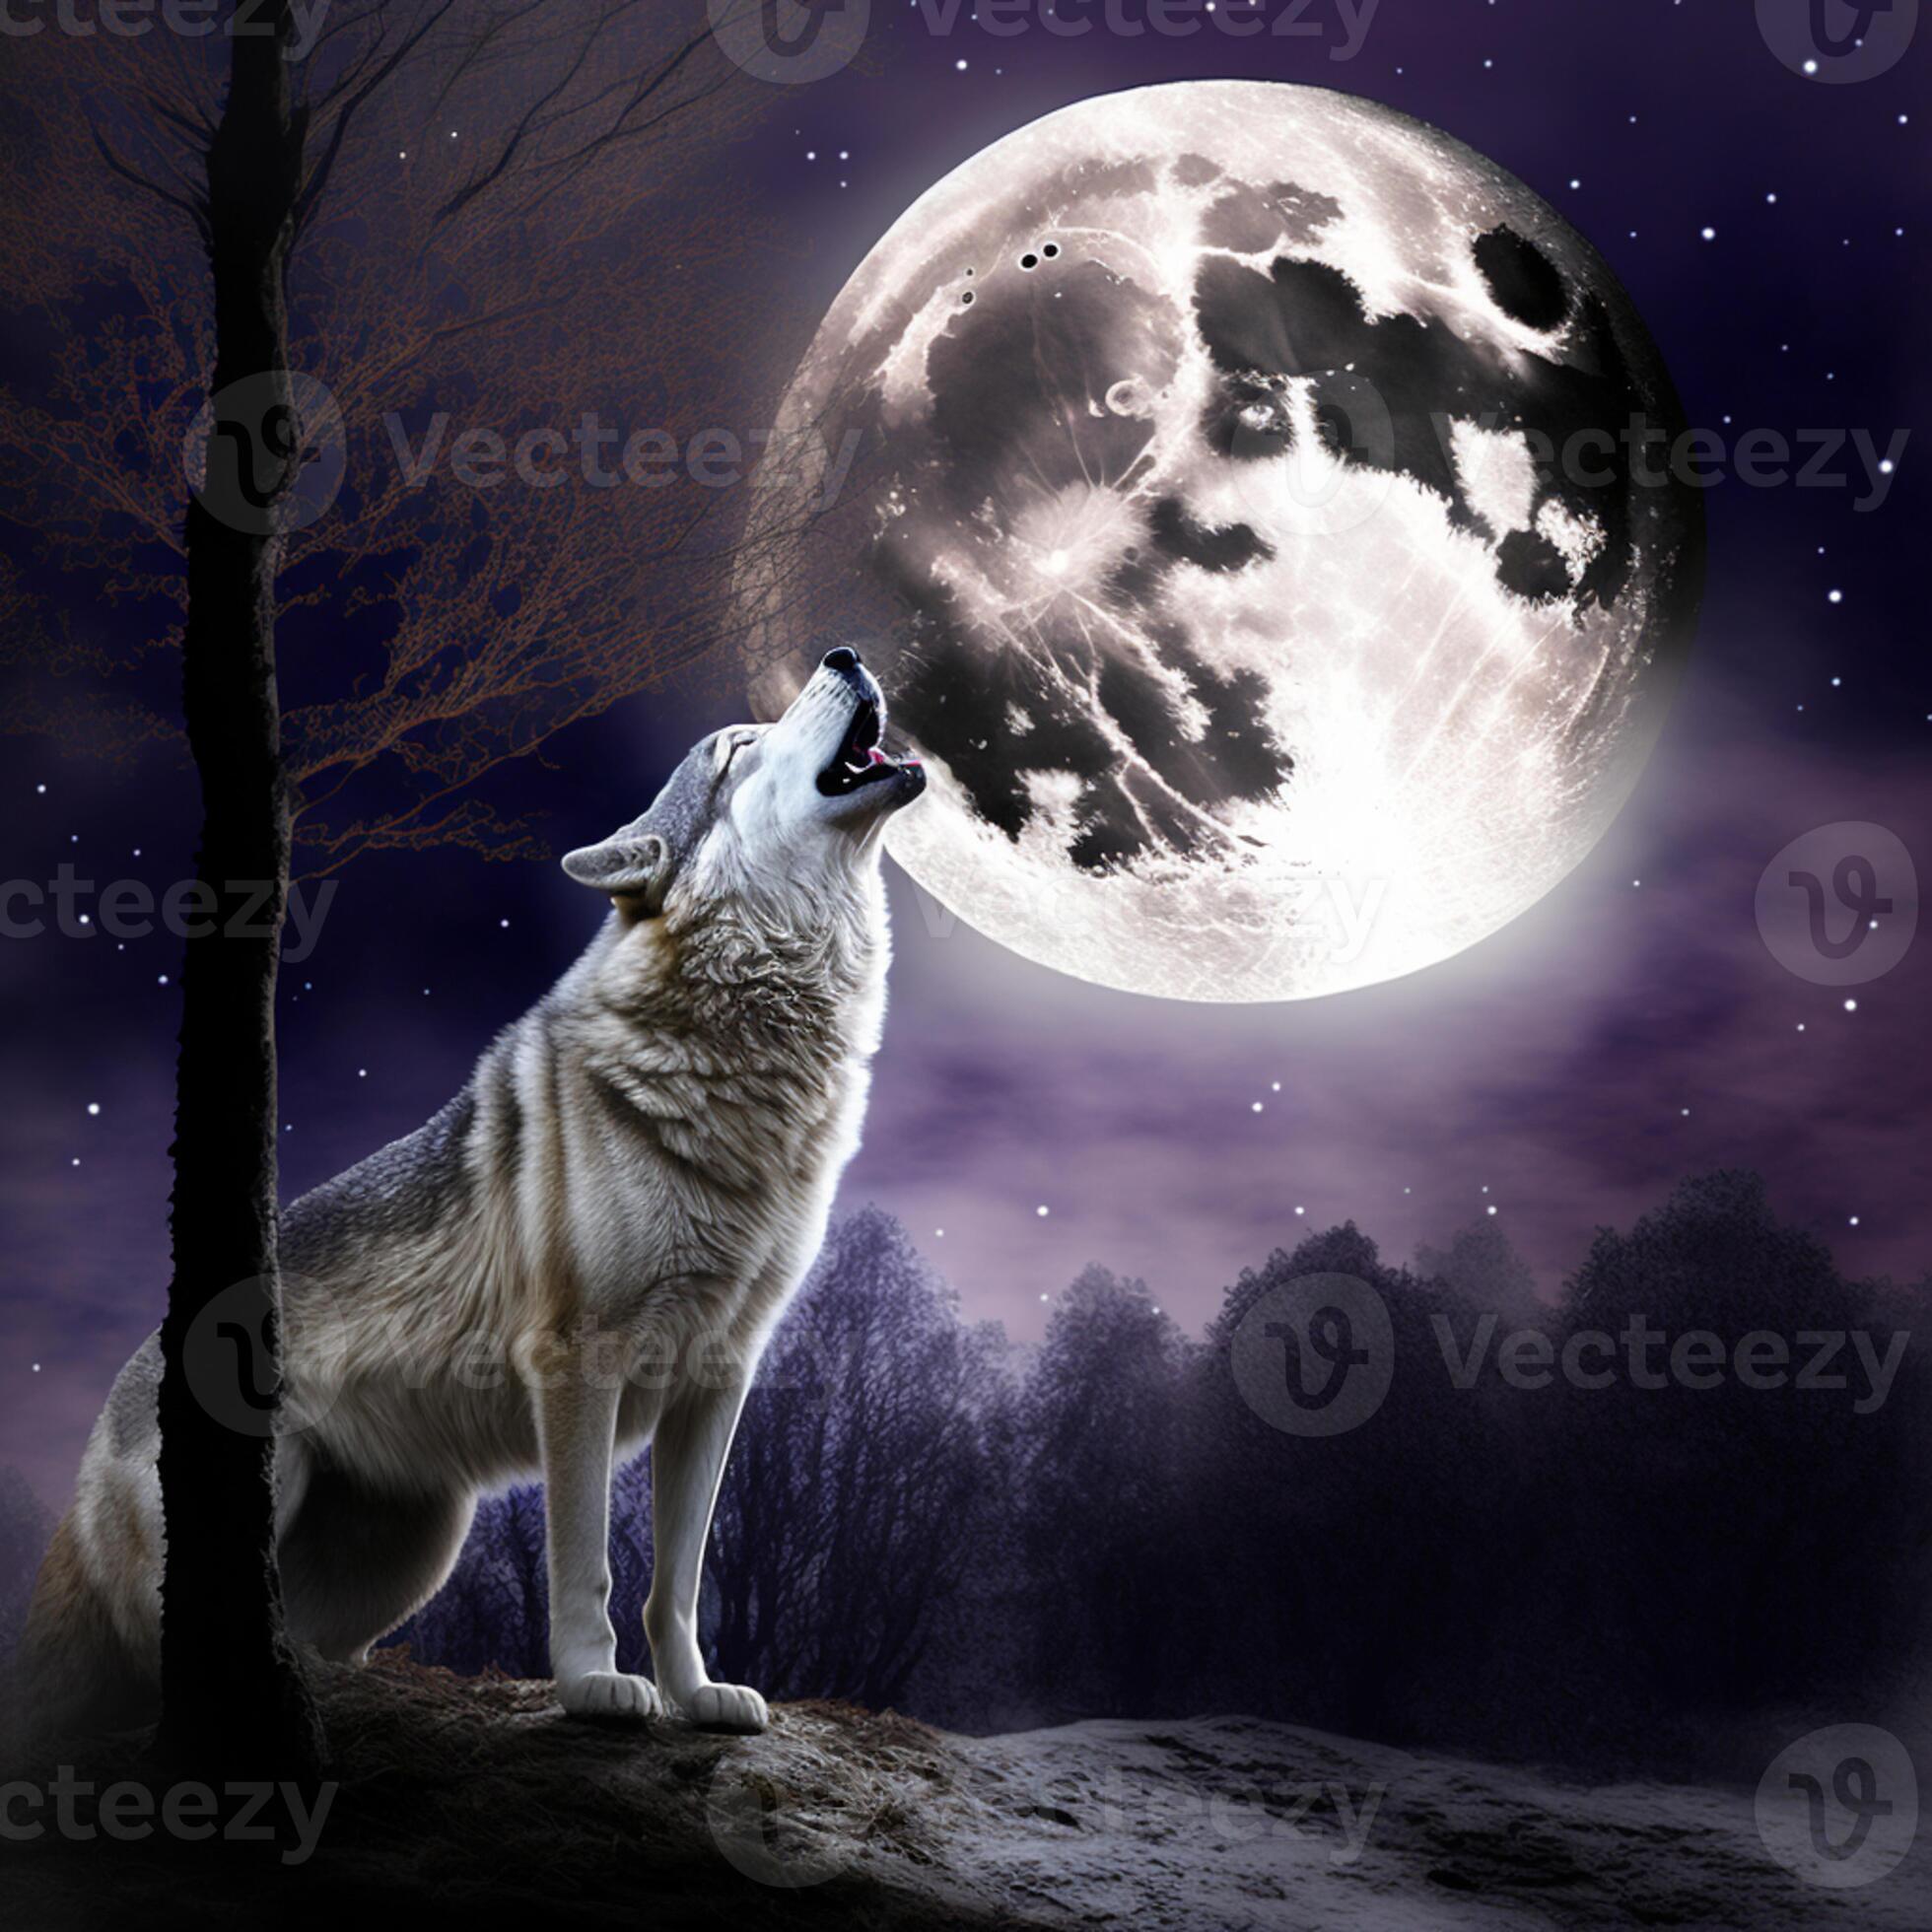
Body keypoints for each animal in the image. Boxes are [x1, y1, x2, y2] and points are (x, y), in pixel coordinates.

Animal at [24, 648, 923, 1736]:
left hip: (418, 1552)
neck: (748, 1053)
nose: (842, 654)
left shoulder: (719, 1377)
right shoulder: (579, 1362)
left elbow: (677, 1582)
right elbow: (585, 1565)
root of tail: (99, 1420)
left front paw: (697, 1695)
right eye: (740, 744)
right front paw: (593, 1688)